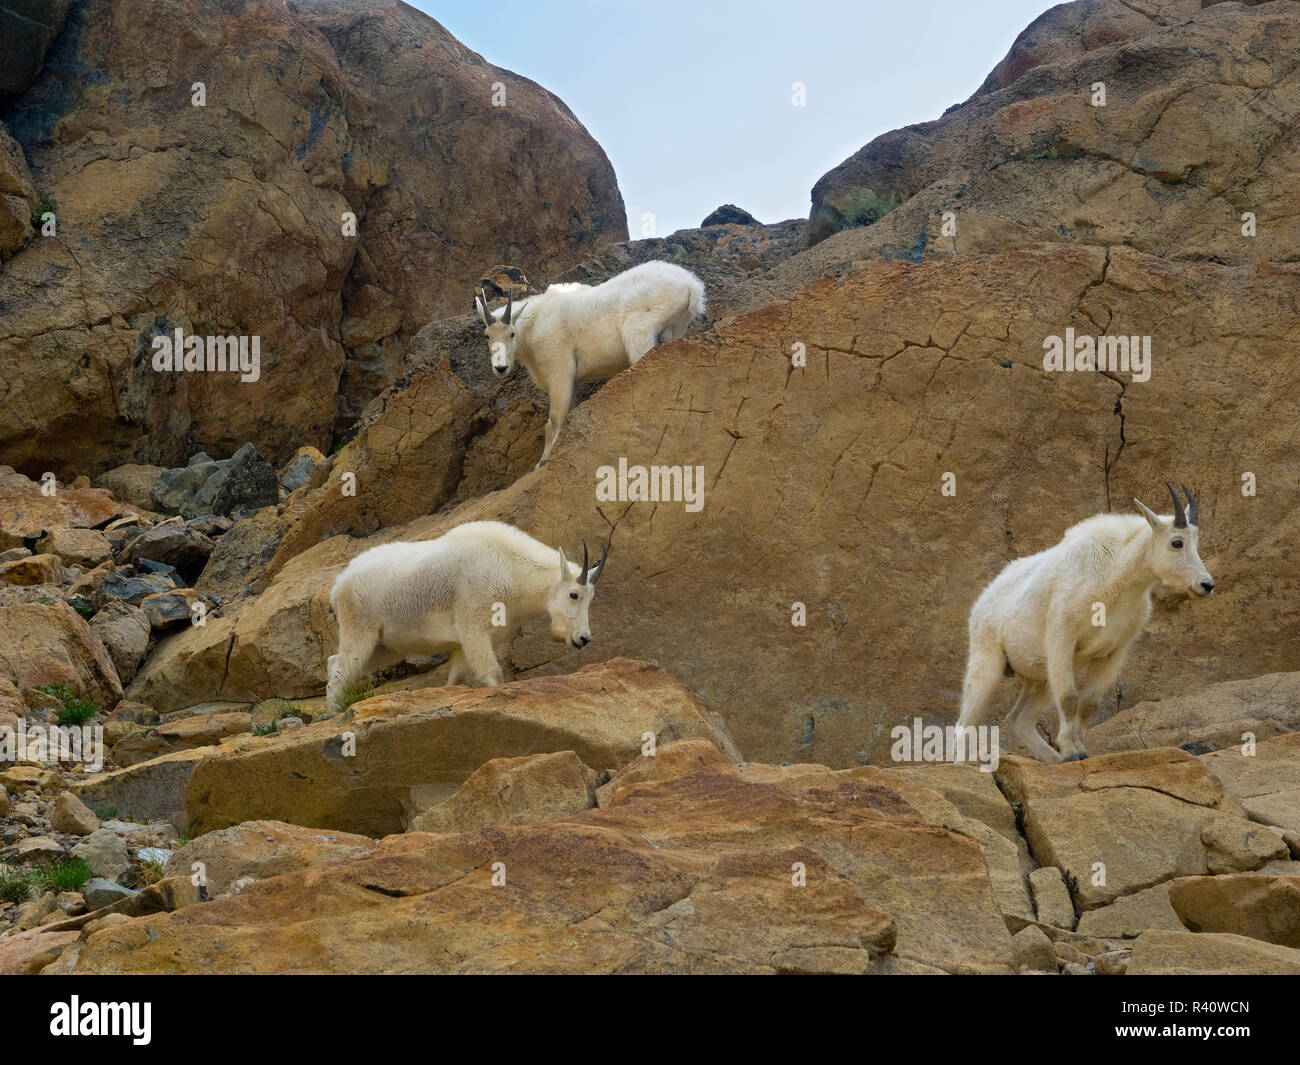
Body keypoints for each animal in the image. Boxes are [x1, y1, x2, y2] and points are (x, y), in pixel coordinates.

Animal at [325, 521, 607, 711]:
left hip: (384, 646)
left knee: (334, 663)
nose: (583, 639)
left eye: (590, 598)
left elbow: (455, 680)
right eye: (574, 595)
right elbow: (493, 674)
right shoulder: (474, 628)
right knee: (338, 677)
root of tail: (338, 586)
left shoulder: (465, 643)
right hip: (360, 630)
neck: (511, 570)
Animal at [477, 261, 706, 466]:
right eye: (487, 336)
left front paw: (543, 461)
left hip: (639, 333)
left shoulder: (560, 372)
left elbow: (555, 420)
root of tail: (691, 286)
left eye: (511, 333)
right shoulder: (573, 382)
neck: (533, 325)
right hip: (675, 330)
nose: (500, 368)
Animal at [954, 483, 1214, 763]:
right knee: (965, 723)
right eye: (1177, 542)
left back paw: (1051, 758)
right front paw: (1070, 750)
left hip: (1040, 677)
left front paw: (1079, 749)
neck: (1117, 575)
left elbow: (1089, 704)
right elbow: (1069, 698)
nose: (1206, 585)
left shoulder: (1112, 652)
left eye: (1196, 543)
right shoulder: (1062, 638)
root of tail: (981, 603)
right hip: (987, 661)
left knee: (1018, 719)